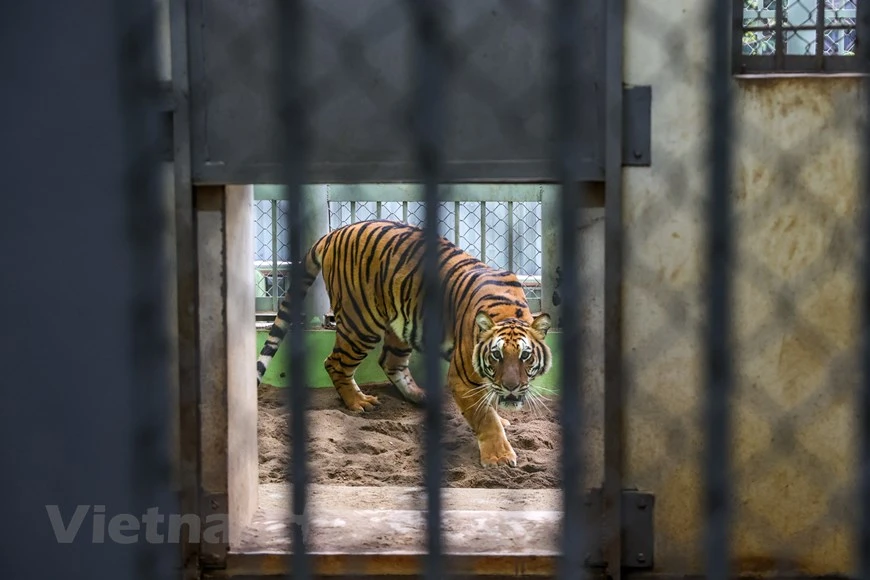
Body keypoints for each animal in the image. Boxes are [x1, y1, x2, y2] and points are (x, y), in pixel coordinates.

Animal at [256, 219, 553, 467]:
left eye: (525, 356)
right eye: (496, 356)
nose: (512, 388)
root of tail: (334, 233)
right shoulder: (462, 377)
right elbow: (485, 417)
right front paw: (499, 456)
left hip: (401, 325)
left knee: (390, 361)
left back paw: (421, 396)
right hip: (361, 324)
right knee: (335, 363)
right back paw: (358, 402)